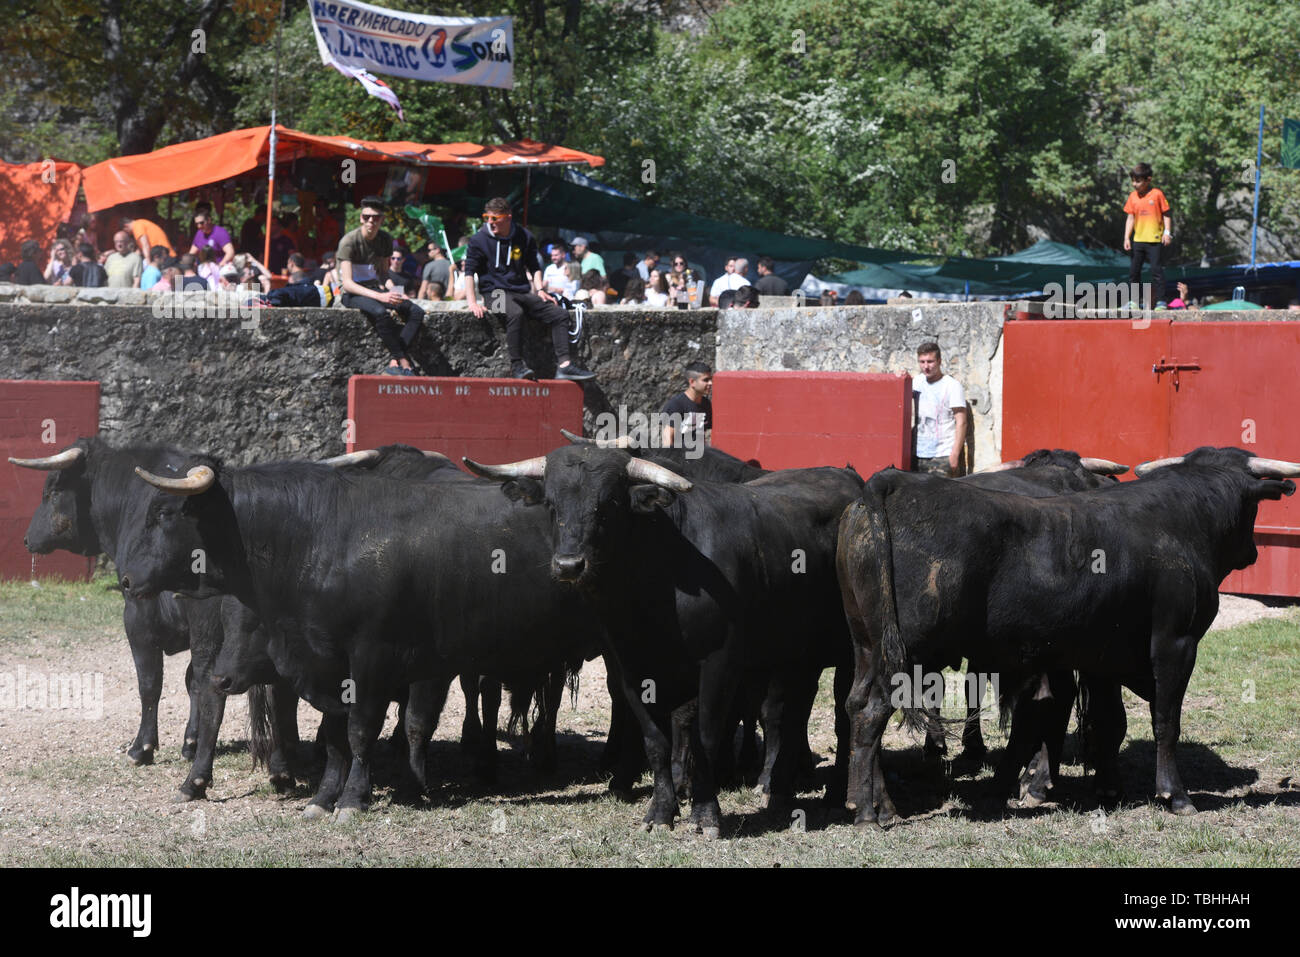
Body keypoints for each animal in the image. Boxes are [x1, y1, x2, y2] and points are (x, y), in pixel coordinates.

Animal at [9, 439, 297, 800]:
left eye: (51, 492)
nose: (26, 539)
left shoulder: (138, 615)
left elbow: (151, 682)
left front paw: (142, 748)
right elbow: (189, 682)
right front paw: (189, 741)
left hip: (211, 634)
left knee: (214, 688)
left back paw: (196, 781)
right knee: (279, 690)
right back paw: (281, 769)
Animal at [119, 457, 616, 820]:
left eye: (164, 514)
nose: (125, 579)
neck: (317, 540)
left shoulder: (375, 660)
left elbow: (363, 730)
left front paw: (355, 798)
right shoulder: (326, 663)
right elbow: (334, 734)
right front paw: (322, 797)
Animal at [464, 445, 863, 838]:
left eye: (610, 503)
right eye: (551, 503)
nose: (568, 565)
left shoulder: (719, 664)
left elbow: (704, 736)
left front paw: (705, 814)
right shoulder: (629, 667)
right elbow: (656, 740)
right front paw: (660, 811)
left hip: (850, 654)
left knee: (842, 721)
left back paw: (835, 794)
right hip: (800, 655)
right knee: (792, 713)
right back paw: (779, 789)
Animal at [836, 446, 1299, 827]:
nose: (1252, 552)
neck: (1181, 520)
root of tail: (890, 484)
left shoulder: (1102, 655)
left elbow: (1106, 720)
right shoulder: (1176, 644)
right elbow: (1166, 719)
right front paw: (1177, 795)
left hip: (868, 645)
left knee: (856, 704)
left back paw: (878, 805)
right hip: (906, 653)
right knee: (873, 712)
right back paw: (867, 813)